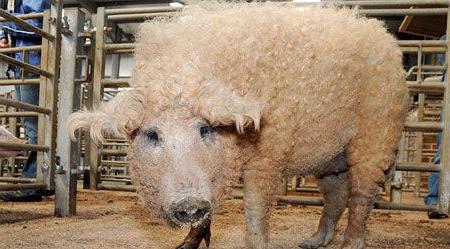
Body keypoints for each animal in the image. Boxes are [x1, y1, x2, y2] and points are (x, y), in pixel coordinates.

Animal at [68, 3, 410, 249]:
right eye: (153, 134)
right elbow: (208, 213)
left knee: (361, 195)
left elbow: (256, 209)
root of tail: (387, 41)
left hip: (375, 135)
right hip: (329, 157)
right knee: (336, 195)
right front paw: (185, 245)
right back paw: (310, 243)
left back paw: (350, 244)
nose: (188, 203)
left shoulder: (268, 153)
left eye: (204, 129)